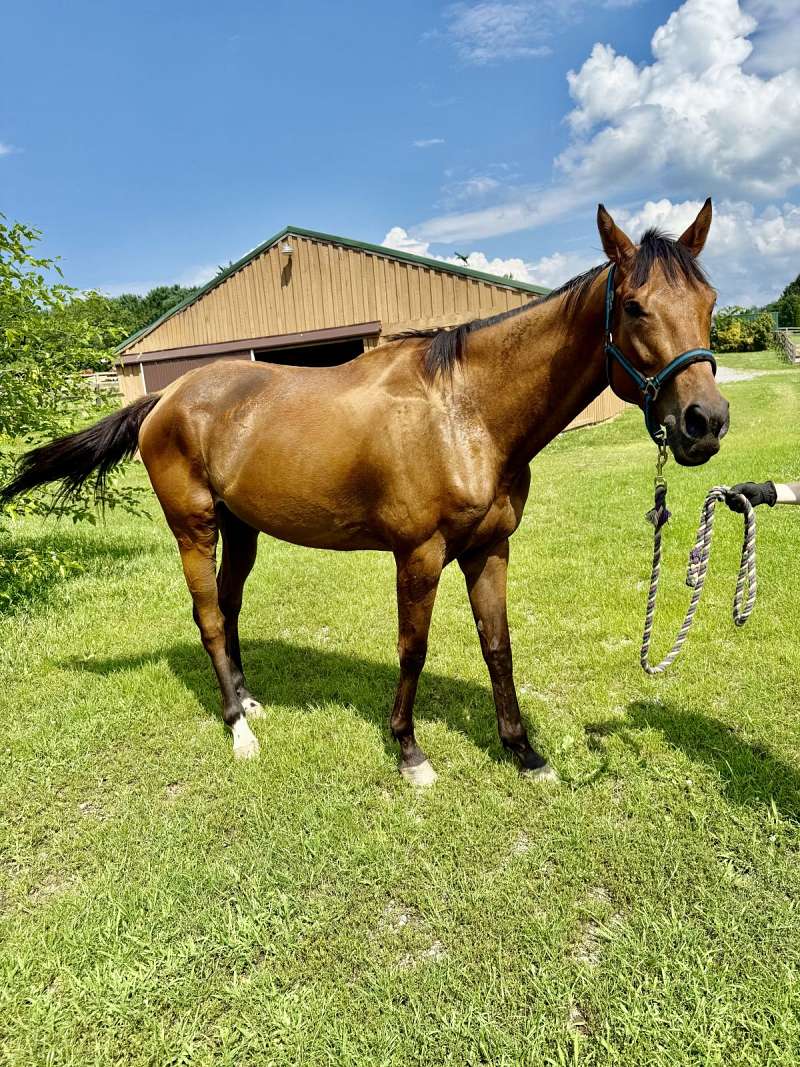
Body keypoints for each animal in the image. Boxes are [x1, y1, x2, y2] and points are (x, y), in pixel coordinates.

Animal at [1, 200, 727, 785]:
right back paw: (240, 728)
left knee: (230, 608)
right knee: (208, 616)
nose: (706, 422)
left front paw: (525, 753)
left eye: (710, 303)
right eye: (634, 306)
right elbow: (413, 648)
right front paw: (409, 752)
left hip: (241, 528)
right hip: (194, 527)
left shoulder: (489, 549)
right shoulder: (419, 554)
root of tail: (167, 396)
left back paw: (250, 698)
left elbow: (498, 646)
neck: (466, 412)